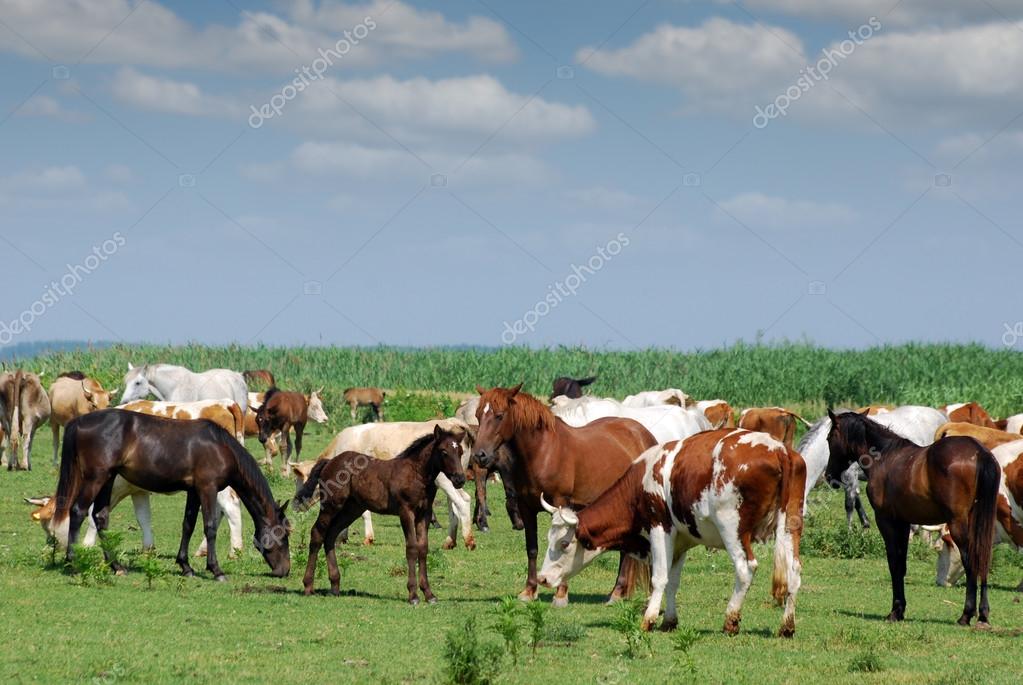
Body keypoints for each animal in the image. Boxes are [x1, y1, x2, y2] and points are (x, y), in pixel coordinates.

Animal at [52, 409, 290, 580]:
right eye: (283, 536)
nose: (285, 571)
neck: (220, 446)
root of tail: (79, 421)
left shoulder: (194, 491)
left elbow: (188, 525)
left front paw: (186, 567)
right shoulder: (208, 488)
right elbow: (210, 526)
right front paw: (216, 570)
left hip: (108, 479)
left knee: (100, 517)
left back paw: (117, 566)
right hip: (96, 478)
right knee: (78, 511)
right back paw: (72, 563)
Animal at [294, 425, 466, 604]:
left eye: (460, 451)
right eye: (444, 451)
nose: (460, 479)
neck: (416, 474)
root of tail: (329, 462)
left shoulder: (424, 514)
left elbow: (423, 548)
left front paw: (429, 594)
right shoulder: (406, 512)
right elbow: (412, 548)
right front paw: (413, 595)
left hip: (351, 510)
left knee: (330, 536)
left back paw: (335, 586)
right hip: (330, 506)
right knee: (317, 533)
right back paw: (308, 586)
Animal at [472, 384, 657, 606]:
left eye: (499, 416)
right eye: (478, 415)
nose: (479, 455)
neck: (542, 452)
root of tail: (643, 434)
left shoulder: (561, 504)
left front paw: (560, 594)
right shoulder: (526, 507)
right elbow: (531, 548)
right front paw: (529, 590)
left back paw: (617, 592)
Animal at [537, 428, 805, 636]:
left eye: (563, 544)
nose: (542, 579)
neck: (639, 483)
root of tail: (778, 449)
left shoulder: (659, 527)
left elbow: (659, 578)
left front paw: (648, 619)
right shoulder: (681, 541)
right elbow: (673, 580)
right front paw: (669, 621)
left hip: (732, 527)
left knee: (745, 568)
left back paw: (731, 620)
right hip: (791, 524)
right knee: (794, 570)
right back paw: (787, 626)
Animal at [825, 410, 999, 628]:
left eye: (829, 438)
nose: (829, 476)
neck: (885, 458)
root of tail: (979, 452)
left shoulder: (887, 522)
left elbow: (894, 563)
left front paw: (895, 611)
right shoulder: (903, 523)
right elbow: (901, 564)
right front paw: (900, 610)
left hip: (958, 524)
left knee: (971, 560)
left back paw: (966, 615)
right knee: (983, 557)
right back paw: (983, 615)